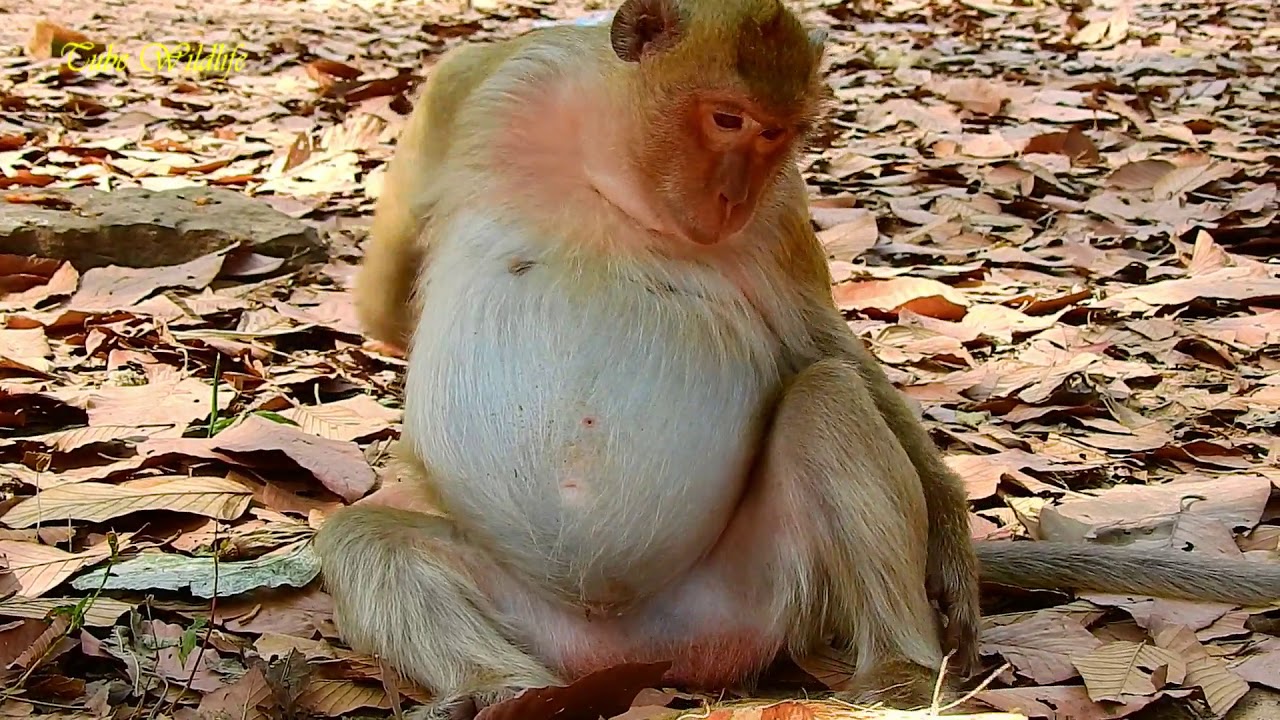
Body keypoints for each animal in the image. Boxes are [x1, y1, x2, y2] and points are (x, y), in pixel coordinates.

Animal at [322, 0, 1280, 716]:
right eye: (727, 119)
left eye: (779, 135)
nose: (731, 196)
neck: (604, 168)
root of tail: (639, 653)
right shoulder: (467, 90)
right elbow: (381, 308)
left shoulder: (779, 209)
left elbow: (818, 343)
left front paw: (948, 534)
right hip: (547, 622)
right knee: (365, 540)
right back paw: (506, 691)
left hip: (770, 594)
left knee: (825, 400)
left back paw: (901, 671)